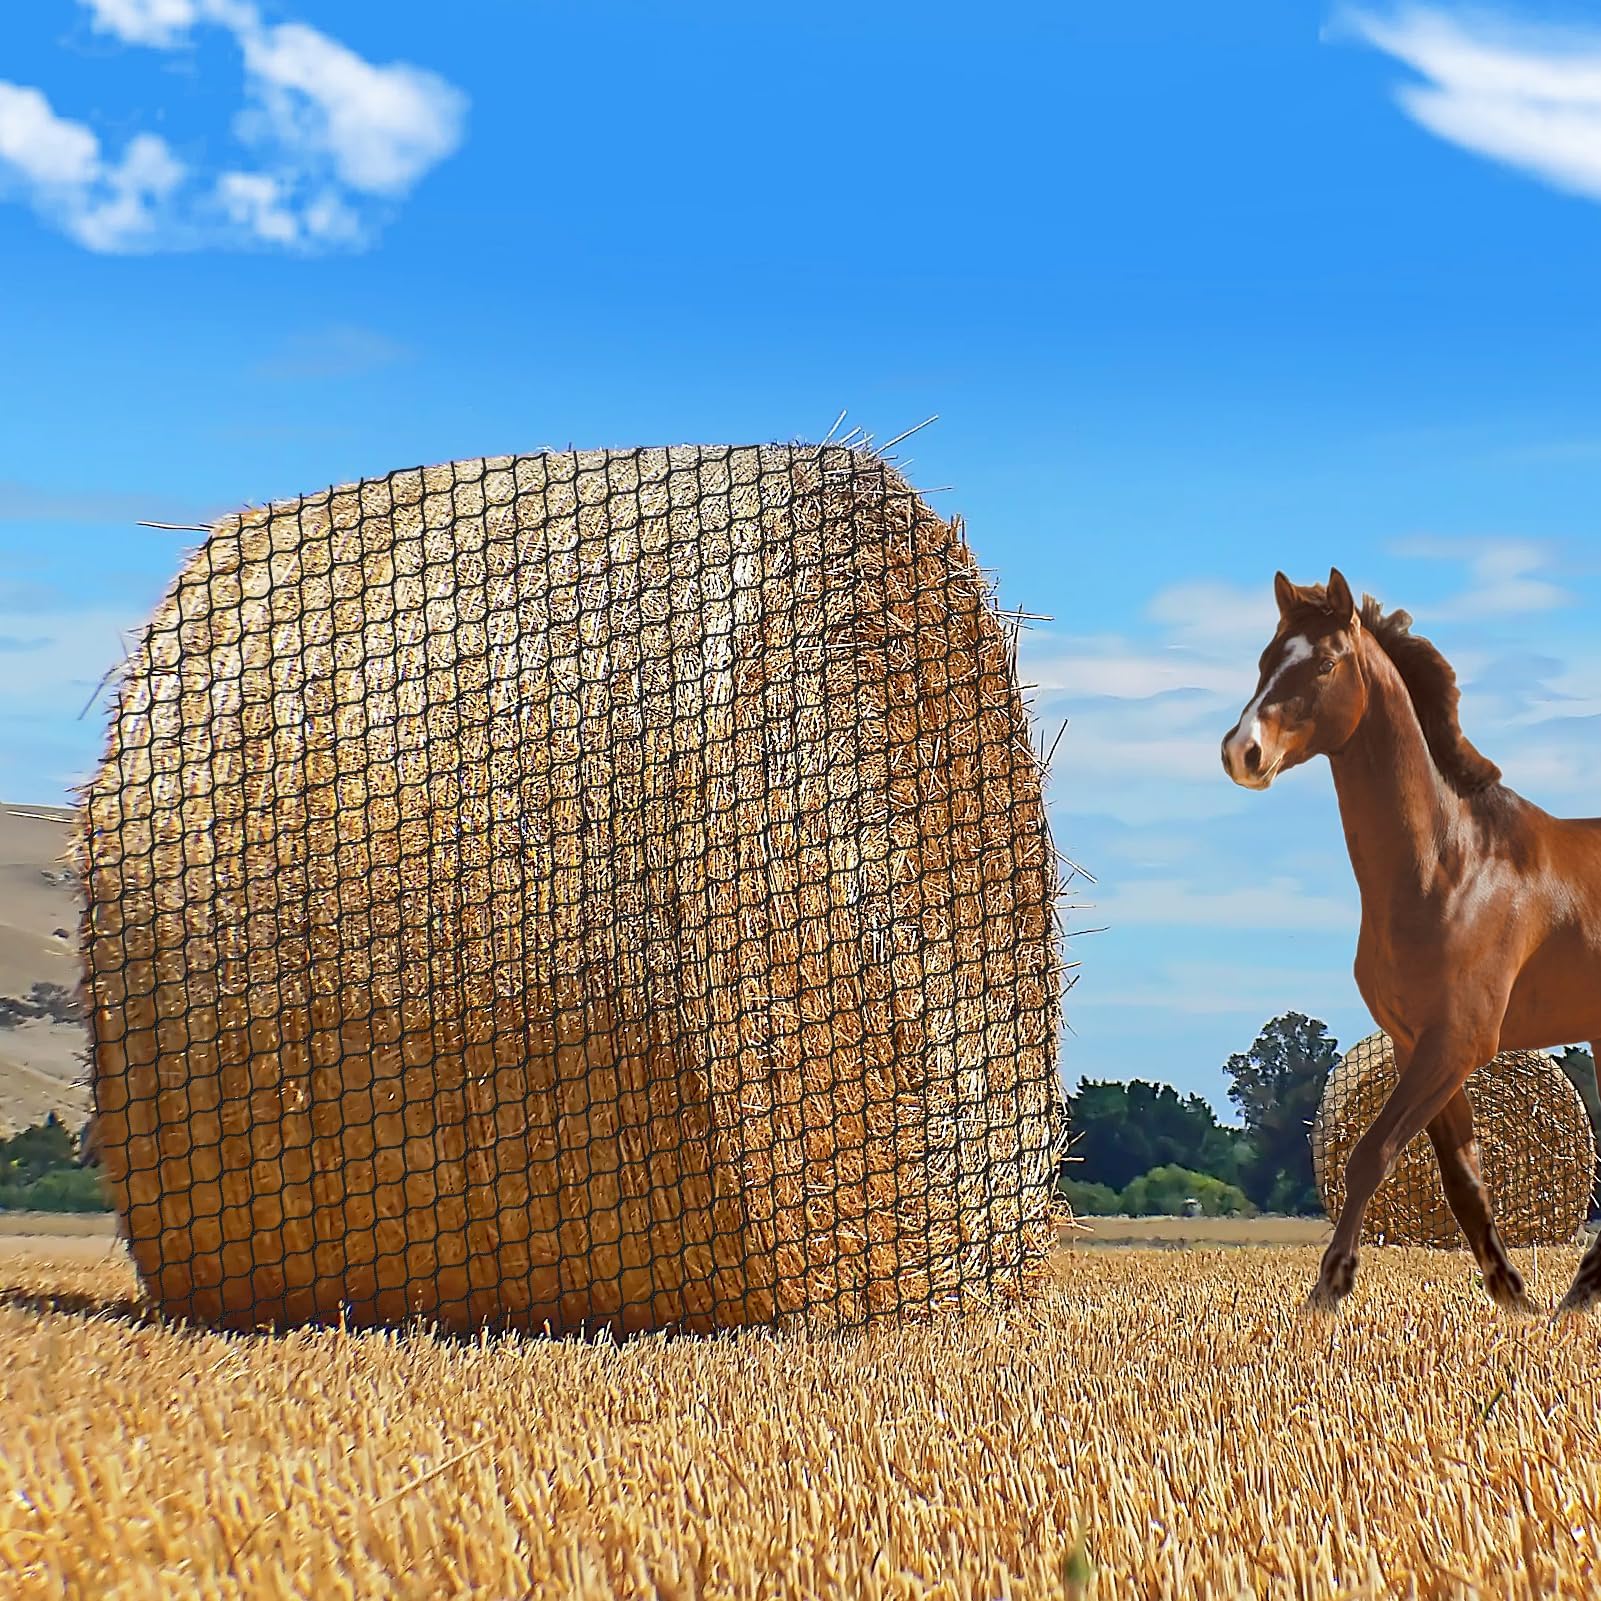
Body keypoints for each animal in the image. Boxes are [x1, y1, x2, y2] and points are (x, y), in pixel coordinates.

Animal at [1221, 567, 1601, 1317]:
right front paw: (1513, 1296)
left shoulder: (1455, 1043)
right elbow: (1463, 1182)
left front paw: (1329, 1287)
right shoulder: (1413, 1044)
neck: (1449, 866)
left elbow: (1369, 1154)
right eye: (1264, 659)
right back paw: (1578, 1293)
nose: (1241, 753)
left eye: (1325, 663)